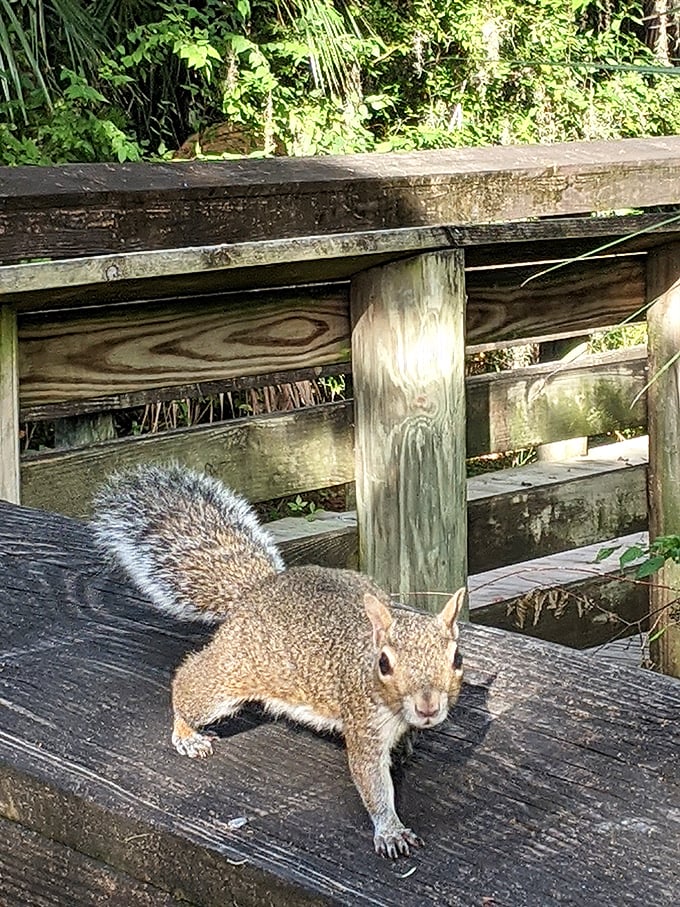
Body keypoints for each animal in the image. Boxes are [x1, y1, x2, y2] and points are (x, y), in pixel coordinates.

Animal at [92, 464, 466, 859]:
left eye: (457, 658)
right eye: (384, 665)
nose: (428, 707)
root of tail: (258, 588)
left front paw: (409, 743)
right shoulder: (363, 723)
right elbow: (372, 781)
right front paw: (391, 831)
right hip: (232, 672)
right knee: (190, 685)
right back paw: (187, 733)